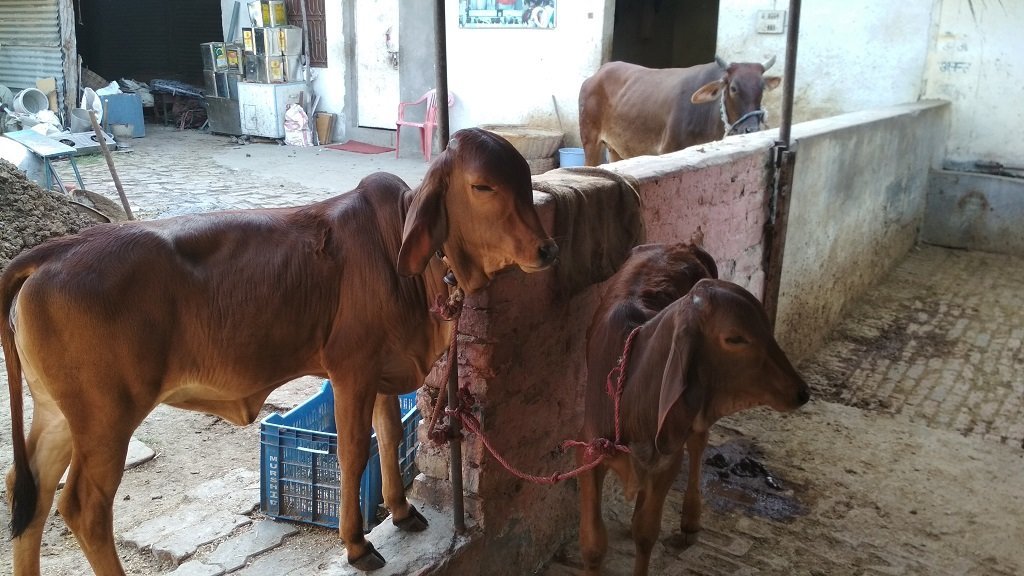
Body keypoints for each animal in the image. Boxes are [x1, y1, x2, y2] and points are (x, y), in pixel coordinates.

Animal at [0, 127, 559, 575]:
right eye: (482, 186)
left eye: (524, 177)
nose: (547, 249)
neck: (409, 265)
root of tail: (52, 252)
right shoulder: (350, 371)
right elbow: (354, 453)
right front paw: (356, 545)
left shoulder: (383, 371)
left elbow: (388, 440)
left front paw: (401, 512)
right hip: (106, 418)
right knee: (84, 507)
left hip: (59, 415)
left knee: (28, 494)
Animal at [575, 243, 809, 576]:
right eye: (735, 337)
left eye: (767, 327)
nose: (802, 392)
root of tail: (682, 245)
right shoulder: (589, 451)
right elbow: (593, 544)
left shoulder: (668, 457)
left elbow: (646, 533)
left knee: (698, 445)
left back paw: (690, 519)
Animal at [578, 56, 782, 166]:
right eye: (733, 88)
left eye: (762, 88)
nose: (751, 129)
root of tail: (596, 74)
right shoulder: (668, 149)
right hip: (591, 141)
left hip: (616, 148)